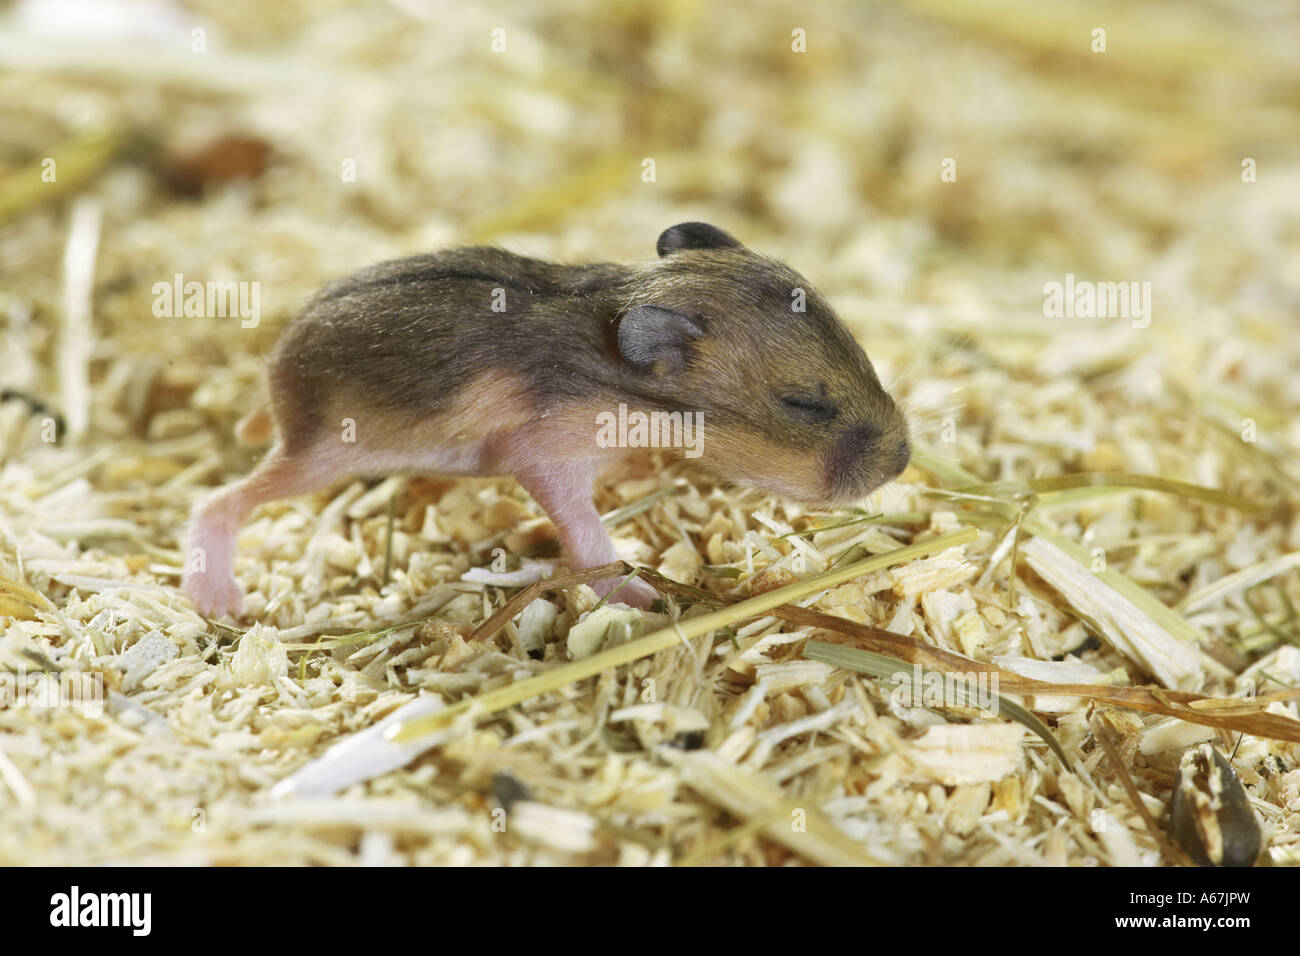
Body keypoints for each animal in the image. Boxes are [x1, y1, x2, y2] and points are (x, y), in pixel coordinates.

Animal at [182, 222, 911, 618]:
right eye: (804, 404)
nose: (903, 460)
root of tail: (277, 366)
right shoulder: (547, 458)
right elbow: (589, 540)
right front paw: (644, 597)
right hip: (322, 453)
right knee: (218, 502)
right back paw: (216, 598)